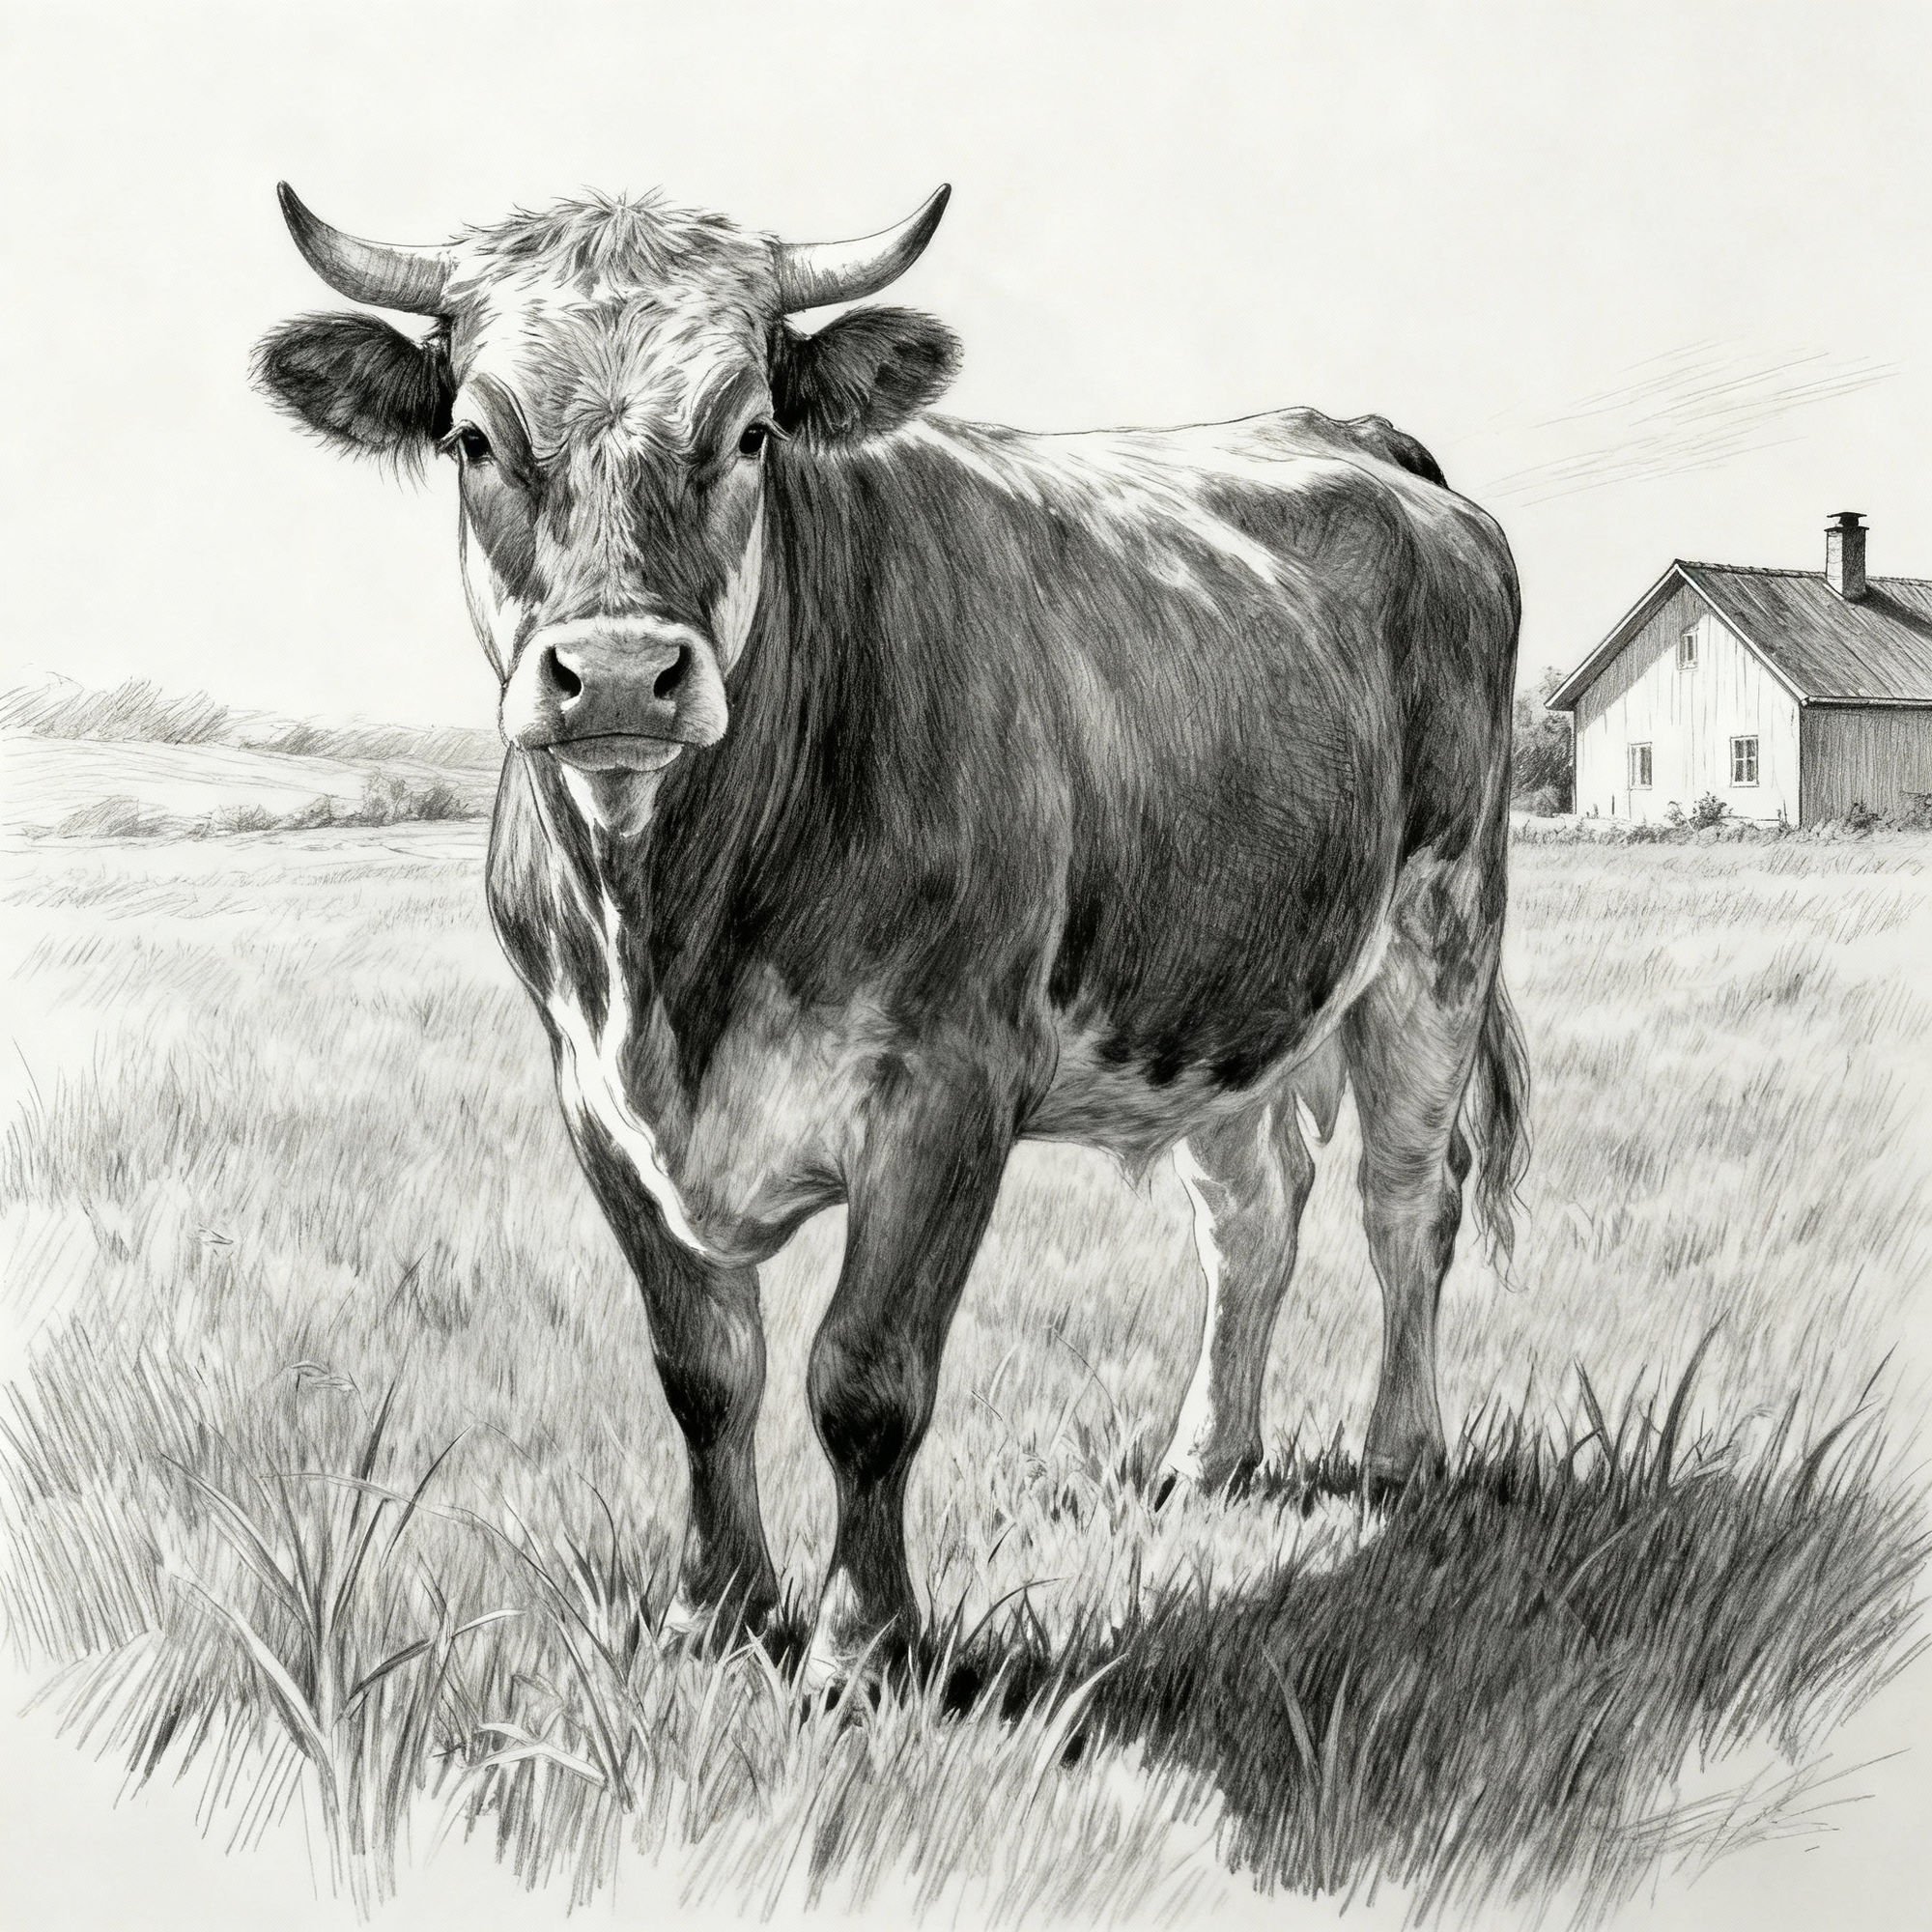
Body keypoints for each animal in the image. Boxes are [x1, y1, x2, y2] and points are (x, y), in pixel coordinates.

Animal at [256, 181, 1528, 1684]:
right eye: (471, 436)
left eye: (750, 430)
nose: (619, 673)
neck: (672, 945)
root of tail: (1355, 436)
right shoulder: (591, 1097)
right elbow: (704, 1372)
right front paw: (716, 1612)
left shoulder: (949, 1087)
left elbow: (864, 1376)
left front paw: (863, 1644)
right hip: (1217, 990)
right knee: (1252, 1214)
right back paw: (1205, 1461)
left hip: (1440, 928)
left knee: (1408, 1200)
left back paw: (1400, 1459)